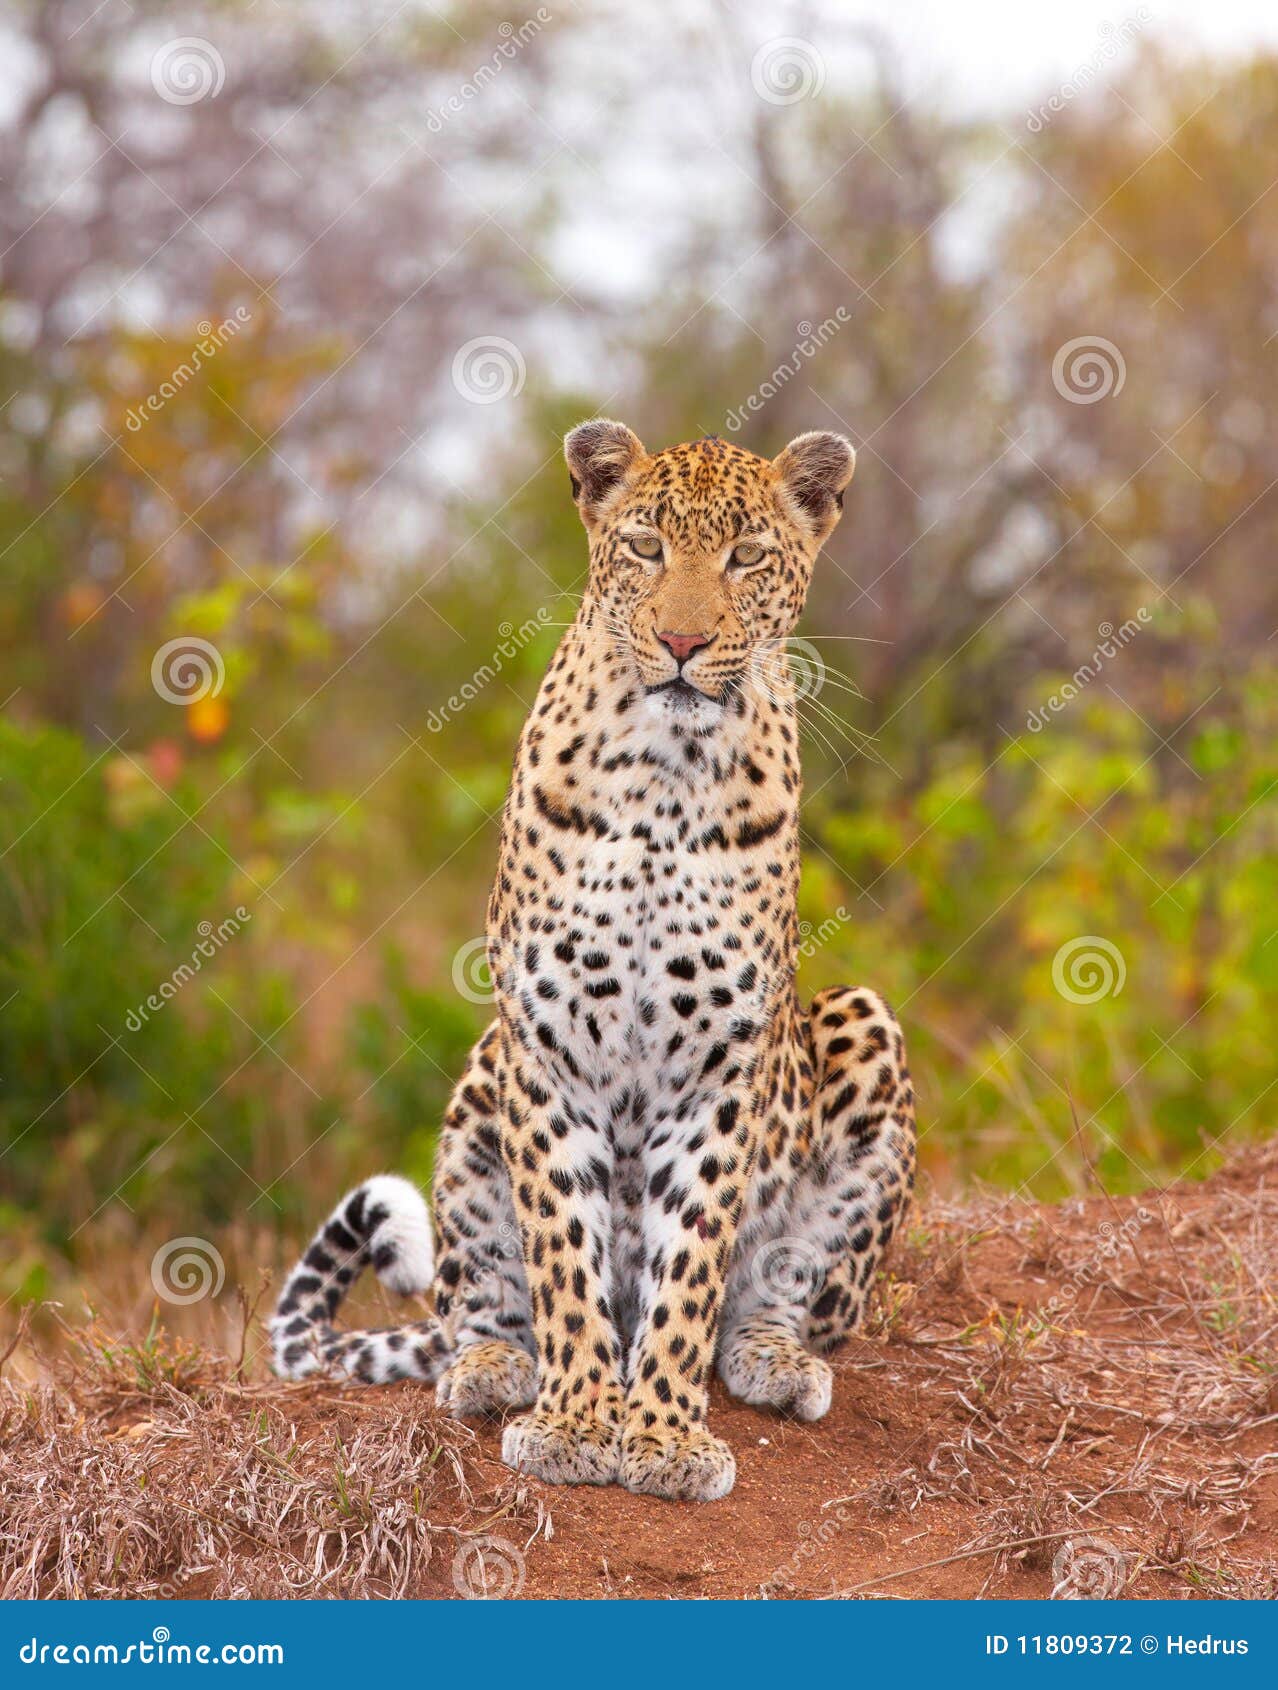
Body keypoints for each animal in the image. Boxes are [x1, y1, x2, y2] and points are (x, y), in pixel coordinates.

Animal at [270, 421, 916, 1503]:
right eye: (647, 547)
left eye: (747, 557)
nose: (683, 644)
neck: (668, 778)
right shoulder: (546, 1042)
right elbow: (562, 1250)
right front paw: (578, 1421)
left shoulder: (724, 1064)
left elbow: (690, 1261)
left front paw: (660, 1434)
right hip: (479, 1086)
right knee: (473, 1301)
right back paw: (494, 1368)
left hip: (863, 1024)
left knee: (780, 1295)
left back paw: (772, 1360)